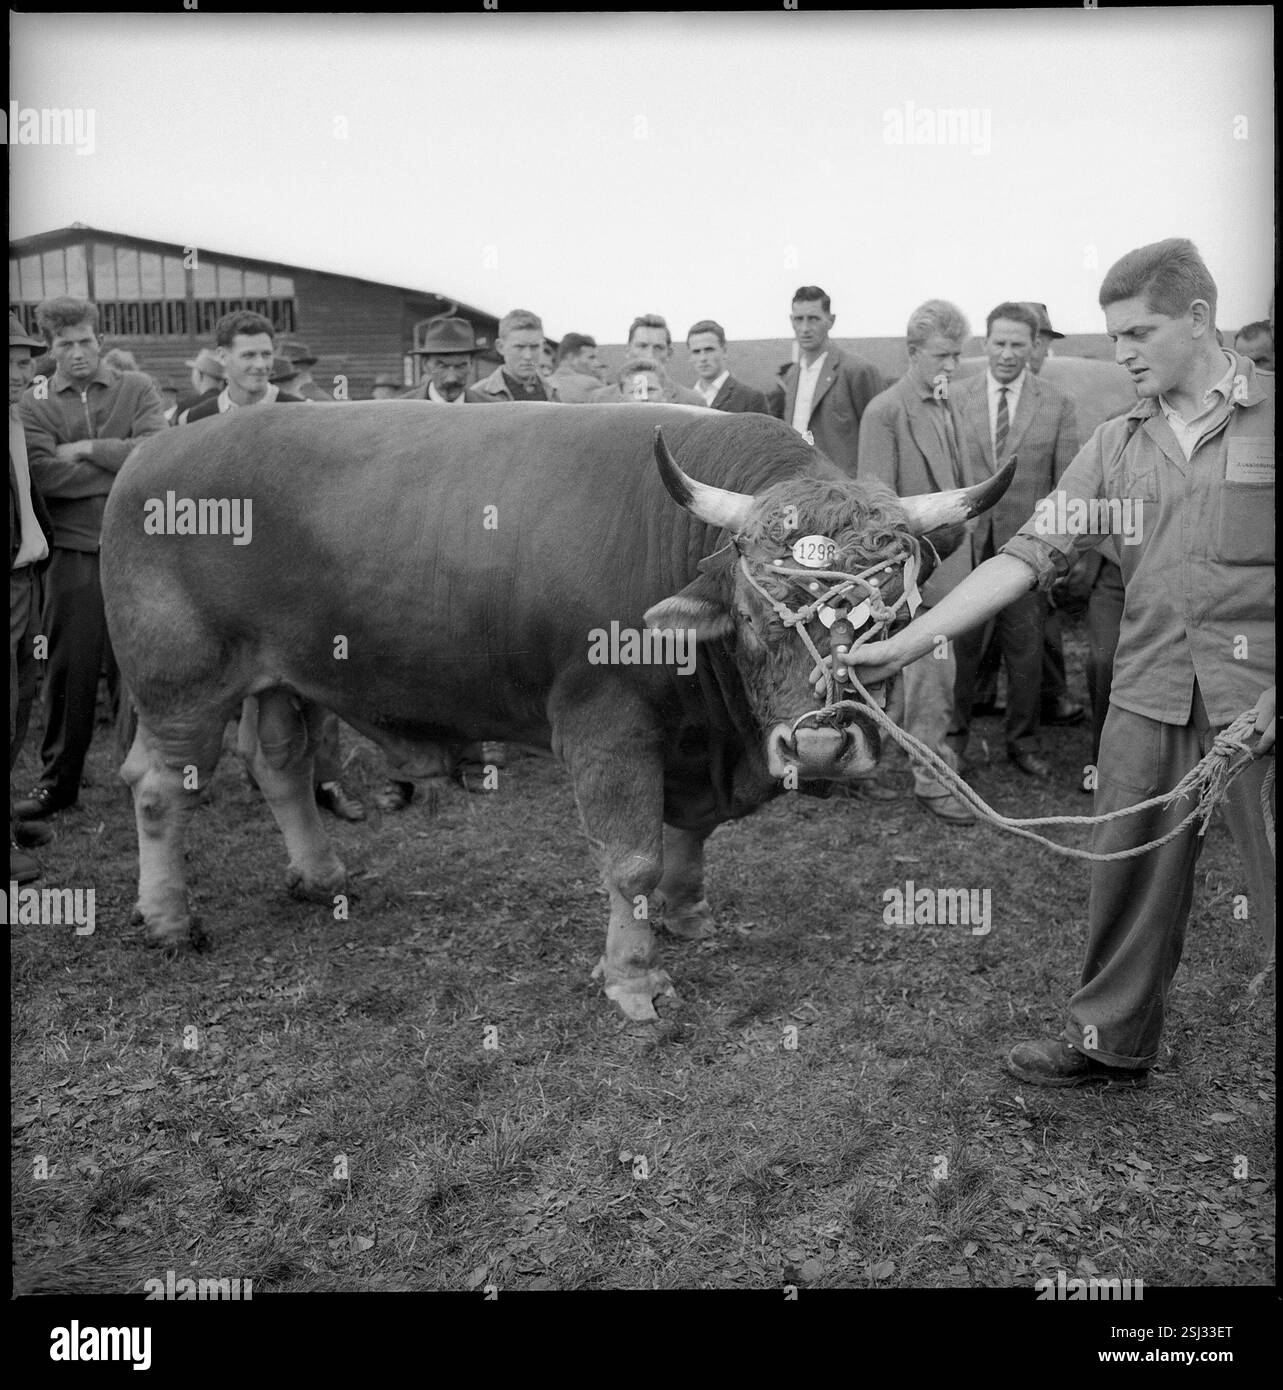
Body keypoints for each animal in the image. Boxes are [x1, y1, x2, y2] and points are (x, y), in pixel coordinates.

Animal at [101, 403, 1013, 1020]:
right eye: (755, 616)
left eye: (886, 616)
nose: (820, 749)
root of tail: (156, 447)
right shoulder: (606, 726)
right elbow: (631, 860)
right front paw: (634, 979)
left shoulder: (690, 745)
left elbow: (688, 837)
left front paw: (687, 915)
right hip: (181, 682)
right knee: (158, 787)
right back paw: (169, 919)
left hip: (278, 677)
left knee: (281, 765)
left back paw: (320, 875)